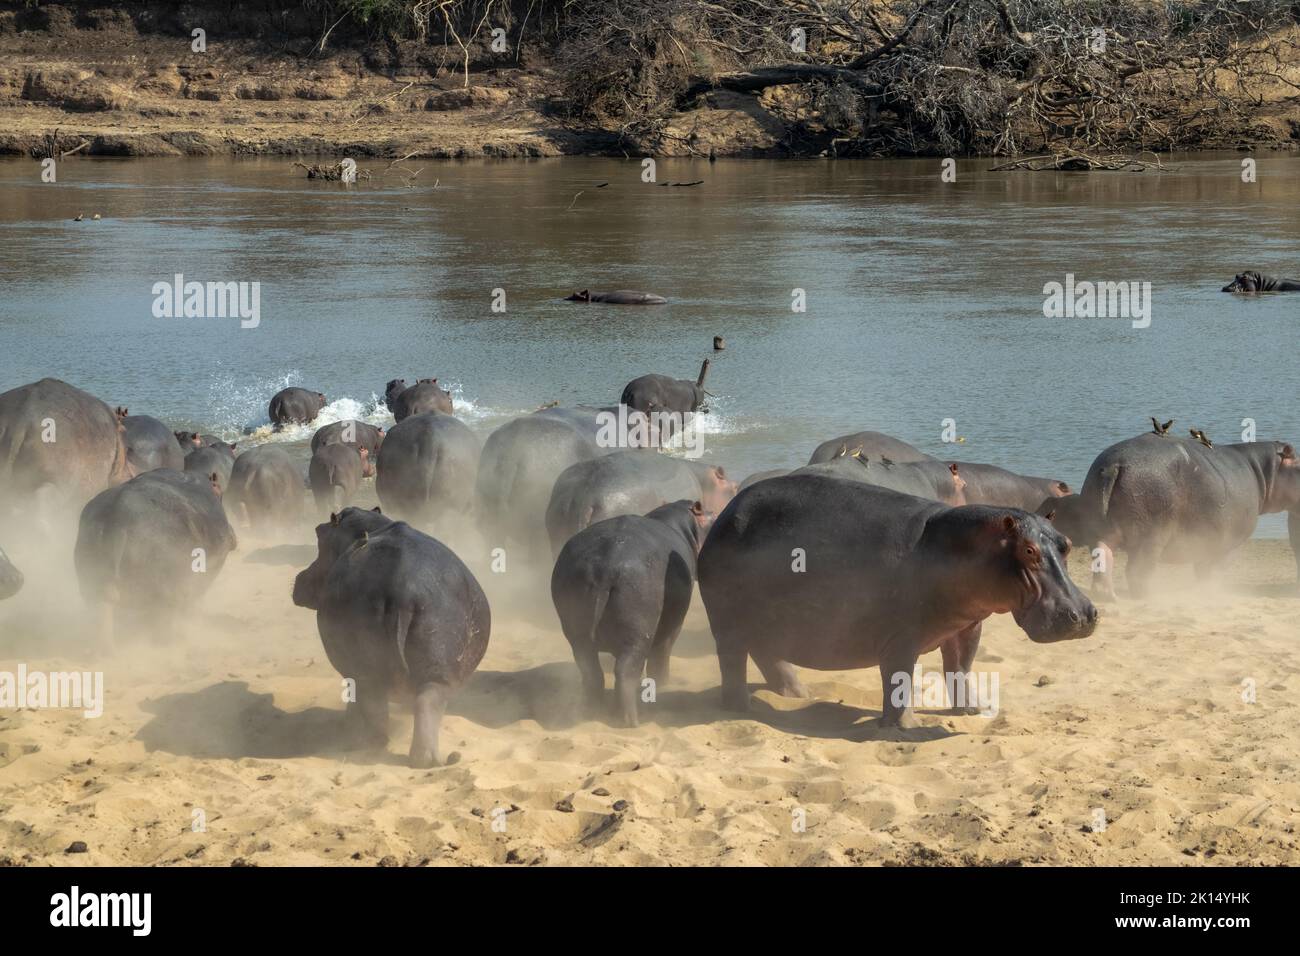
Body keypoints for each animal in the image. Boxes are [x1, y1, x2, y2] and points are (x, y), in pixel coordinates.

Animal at [74, 469, 237, 640]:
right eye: (219, 490)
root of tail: (117, 520)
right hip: (166, 586)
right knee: (165, 619)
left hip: (94, 582)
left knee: (103, 612)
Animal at [291, 507, 491, 768]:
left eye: (319, 534)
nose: (299, 578)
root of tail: (402, 591)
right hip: (431, 668)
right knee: (423, 702)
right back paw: (429, 759)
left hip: (376, 669)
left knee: (385, 702)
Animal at [551, 500, 713, 726]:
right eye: (712, 513)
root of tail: (606, 565)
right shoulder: (673, 626)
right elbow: (661, 655)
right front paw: (664, 684)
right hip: (637, 632)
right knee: (626, 671)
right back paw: (630, 720)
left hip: (577, 632)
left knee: (591, 670)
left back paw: (590, 713)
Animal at [698, 475, 1098, 727]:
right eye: (1028, 550)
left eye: (1066, 543)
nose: (1082, 613)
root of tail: (725, 516)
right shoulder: (901, 637)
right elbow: (898, 676)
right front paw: (903, 726)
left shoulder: (968, 626)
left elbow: (960, 669)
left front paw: (971, 710)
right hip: (728, 622)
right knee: (733, 660)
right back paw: (741, 707)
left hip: (768, 620)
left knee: (768, 654)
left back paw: (798, 693)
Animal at [1070, 432, 1300, 597]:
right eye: (1299, 463)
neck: (1263, 470)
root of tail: (1114, 465)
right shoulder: (1231, 543)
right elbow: (1215, 569)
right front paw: (1212, 590)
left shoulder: (1207, 541)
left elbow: (1203, 569)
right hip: (1150, 538)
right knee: (1137, 571)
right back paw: (1150, 595)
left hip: (1098, 532)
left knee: (1102, 561)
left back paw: (1109, 596)